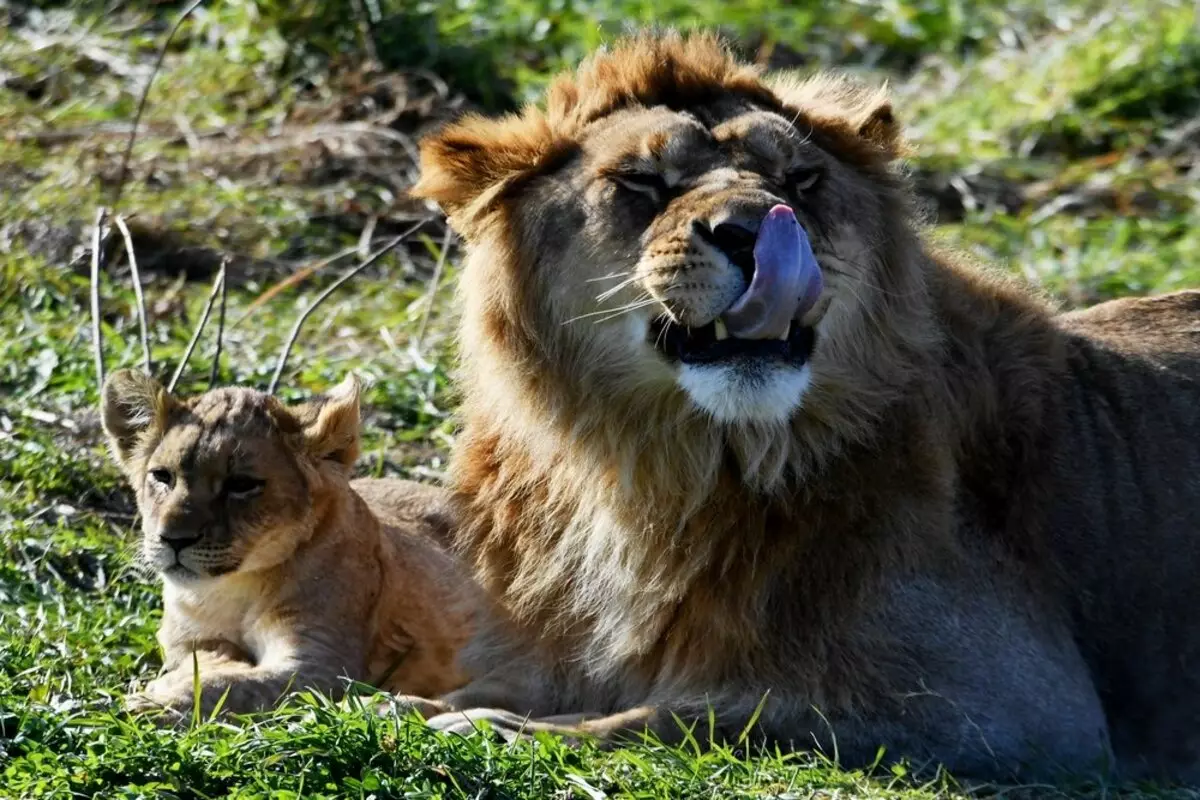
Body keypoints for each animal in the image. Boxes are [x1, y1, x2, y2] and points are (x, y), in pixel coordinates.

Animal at [99, 369, 482, 719]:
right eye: (162, 476)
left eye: (241, 485)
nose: (172, 539)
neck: (234, 590)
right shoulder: (185, 637)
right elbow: (205, 662)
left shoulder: (321, 665)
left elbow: (236, 686)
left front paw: (151, 703)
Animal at [403, 31, 1200, 782]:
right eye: (642, 181)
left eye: (801, 178)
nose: (754, 229)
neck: (658, 472)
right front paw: (425, 702)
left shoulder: (1025, 712)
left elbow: (708, 711)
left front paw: (485, 726)